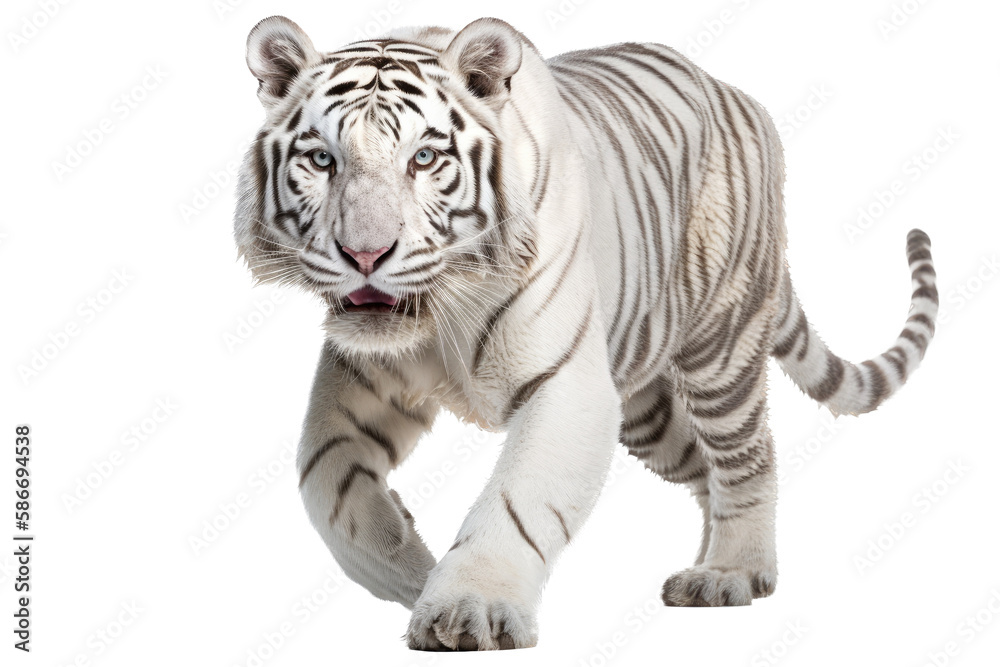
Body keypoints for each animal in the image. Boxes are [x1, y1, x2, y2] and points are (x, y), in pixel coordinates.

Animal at [233, 15, 938, 650]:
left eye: (424, 158)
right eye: (322, 159)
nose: (365, 254)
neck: (438, 313)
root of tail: (737, 96)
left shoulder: (568, 389)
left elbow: (517, 502)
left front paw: (468, 608)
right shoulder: (353, 399)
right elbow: (331, 495)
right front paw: (419, 573)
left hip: (721, 347)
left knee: (748, 456)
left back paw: (732, 572)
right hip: (645, 410)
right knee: (702, 467)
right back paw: (709, 561)